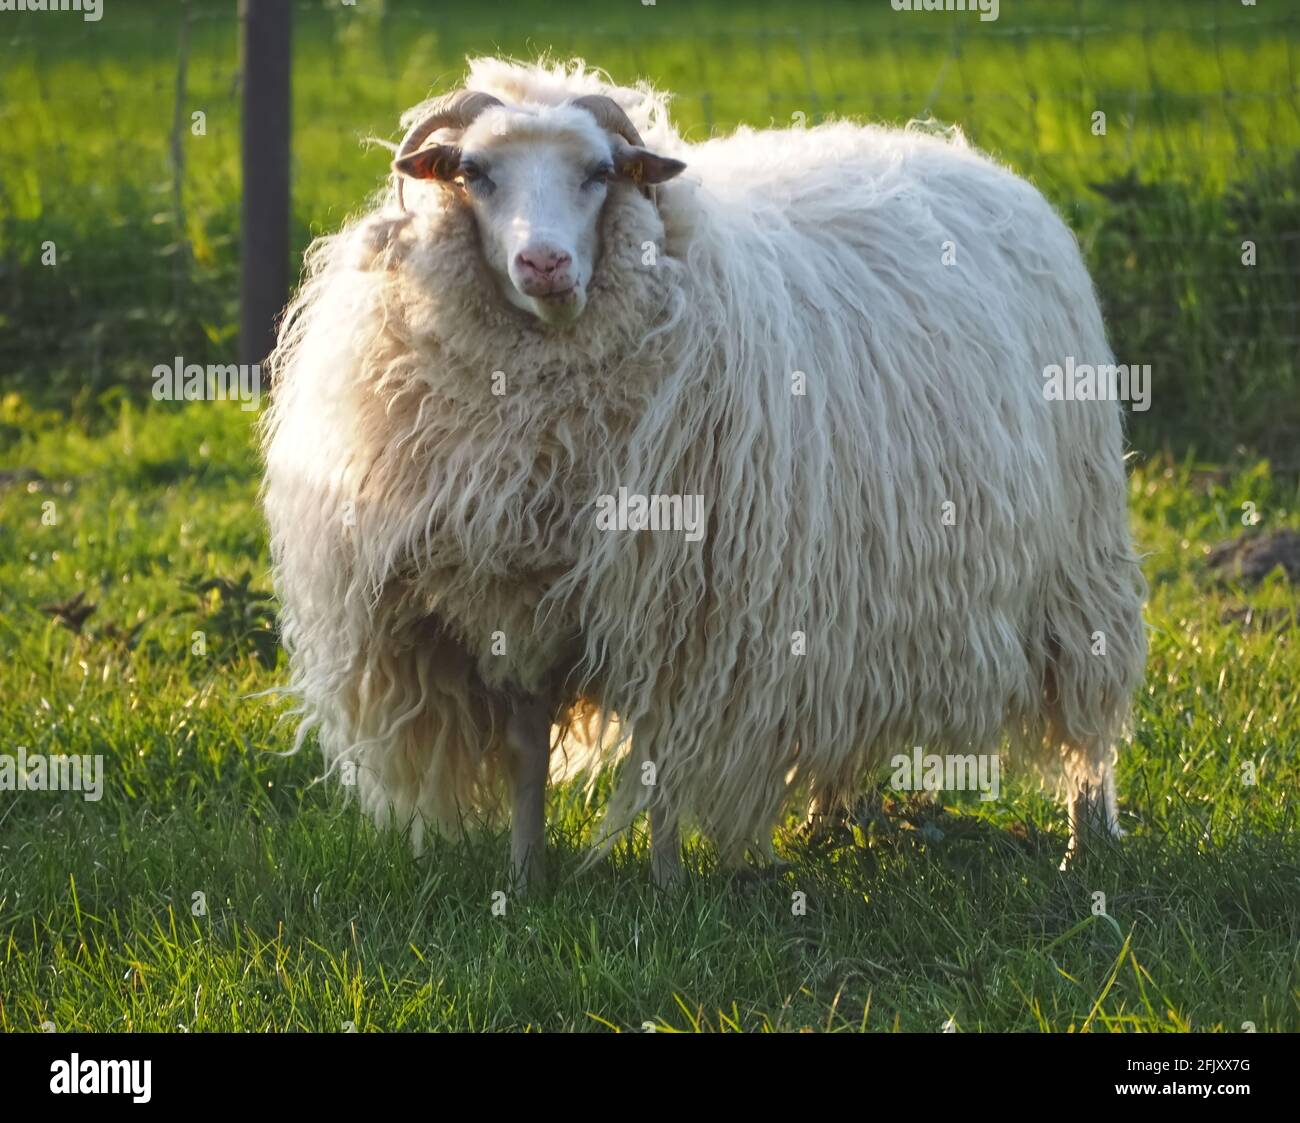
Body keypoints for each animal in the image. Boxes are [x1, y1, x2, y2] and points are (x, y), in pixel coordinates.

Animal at [260, 56, 1147, 889]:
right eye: (475, 173)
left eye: (600, 173)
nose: (544, 263)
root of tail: (974, 160)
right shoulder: (510, 601)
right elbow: (526, 757)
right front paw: (525, 877)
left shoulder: (685, 611)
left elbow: (661, 759)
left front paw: (665, 885)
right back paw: (830, 818)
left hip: (1076, 555)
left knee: (1089, 710)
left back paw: (1086, 843)